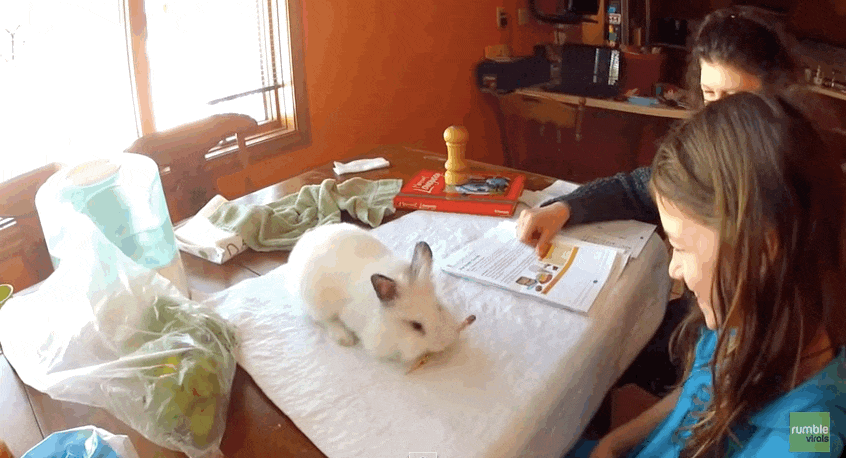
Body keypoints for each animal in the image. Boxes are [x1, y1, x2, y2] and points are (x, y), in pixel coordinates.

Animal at [286, 222, 461, 363]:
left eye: (439, 307)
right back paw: (344, 338)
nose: (442, 343)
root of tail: (303, 240)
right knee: (324, 320)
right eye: (415, 326)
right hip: (317, 305)